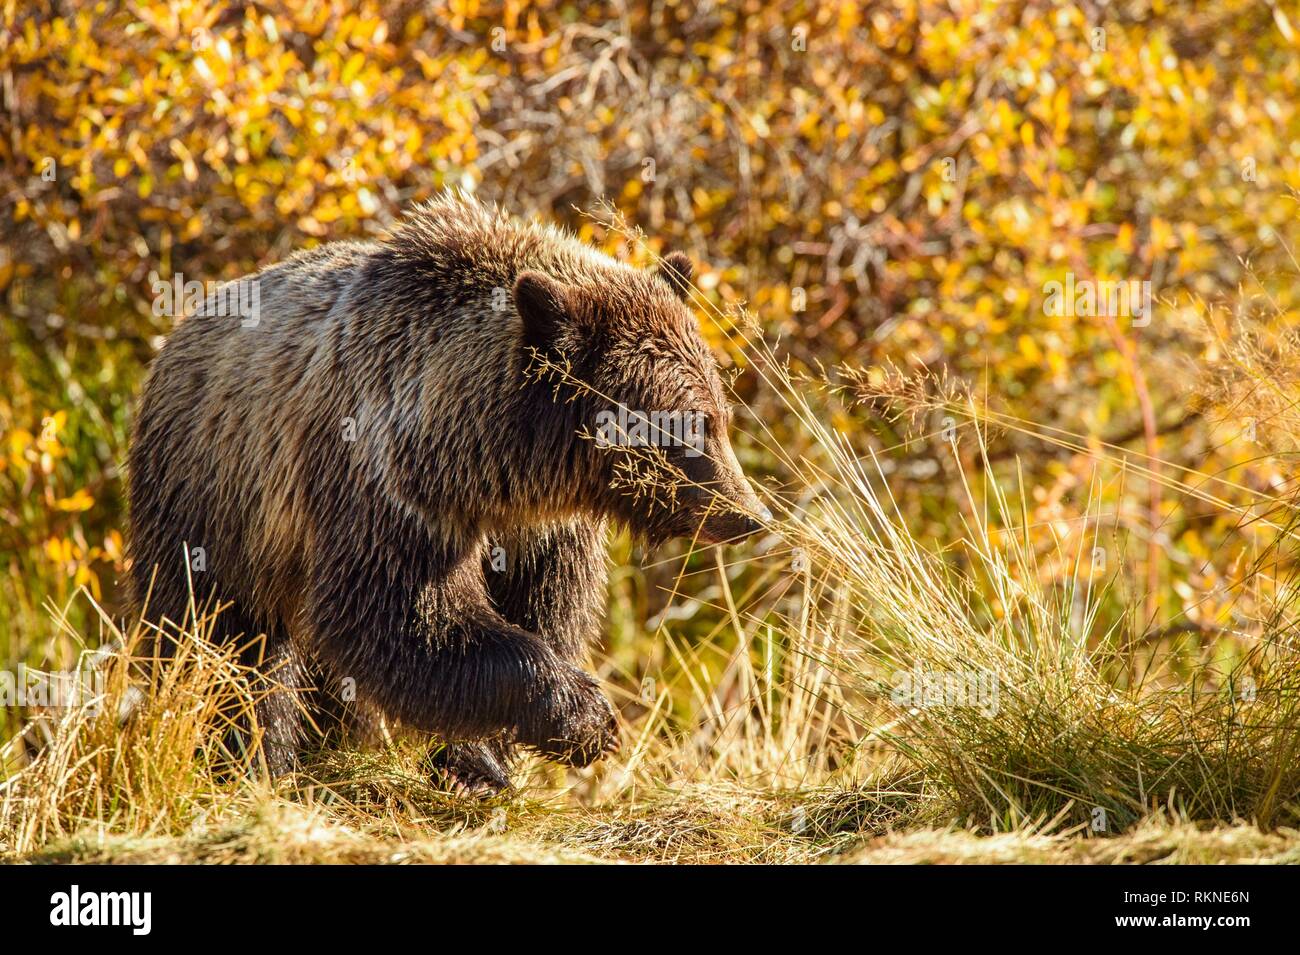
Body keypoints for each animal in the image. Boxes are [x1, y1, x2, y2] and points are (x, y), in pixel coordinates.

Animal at [127, 192, 768, 794]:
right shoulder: (389, 490)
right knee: (220, 640)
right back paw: (247, 758)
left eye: (719, 414)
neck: (490, 463)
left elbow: (544, 611)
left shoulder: (544, 531)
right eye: (687, 424)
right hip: (215, 502)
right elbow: (407, 617)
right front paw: (586, 719)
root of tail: (180, 329)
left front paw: (479, 762)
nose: (750, 514)